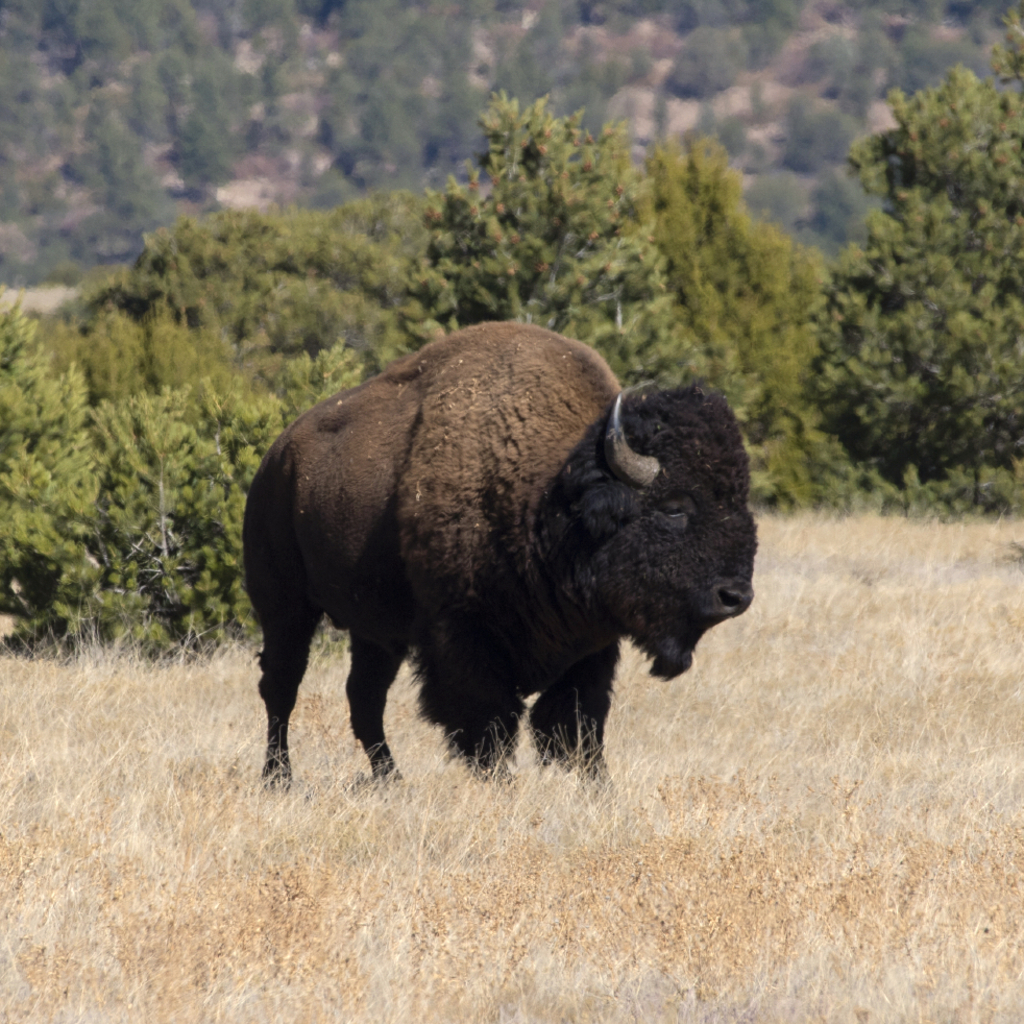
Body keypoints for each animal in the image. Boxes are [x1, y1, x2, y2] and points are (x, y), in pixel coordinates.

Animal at [243, 322, 756, 782]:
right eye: (674, 507)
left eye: (739, 497)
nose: (736, 596)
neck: (552, 497)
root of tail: (277, 457)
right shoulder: (466, 637)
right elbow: (489, 725)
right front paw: (502, 788)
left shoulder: (590, 649)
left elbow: (579, 726)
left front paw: (599, 789)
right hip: (285, 606)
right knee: (281, 686)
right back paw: (278, 778)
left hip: (376, 630)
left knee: (364, 697)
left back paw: (391, 780)